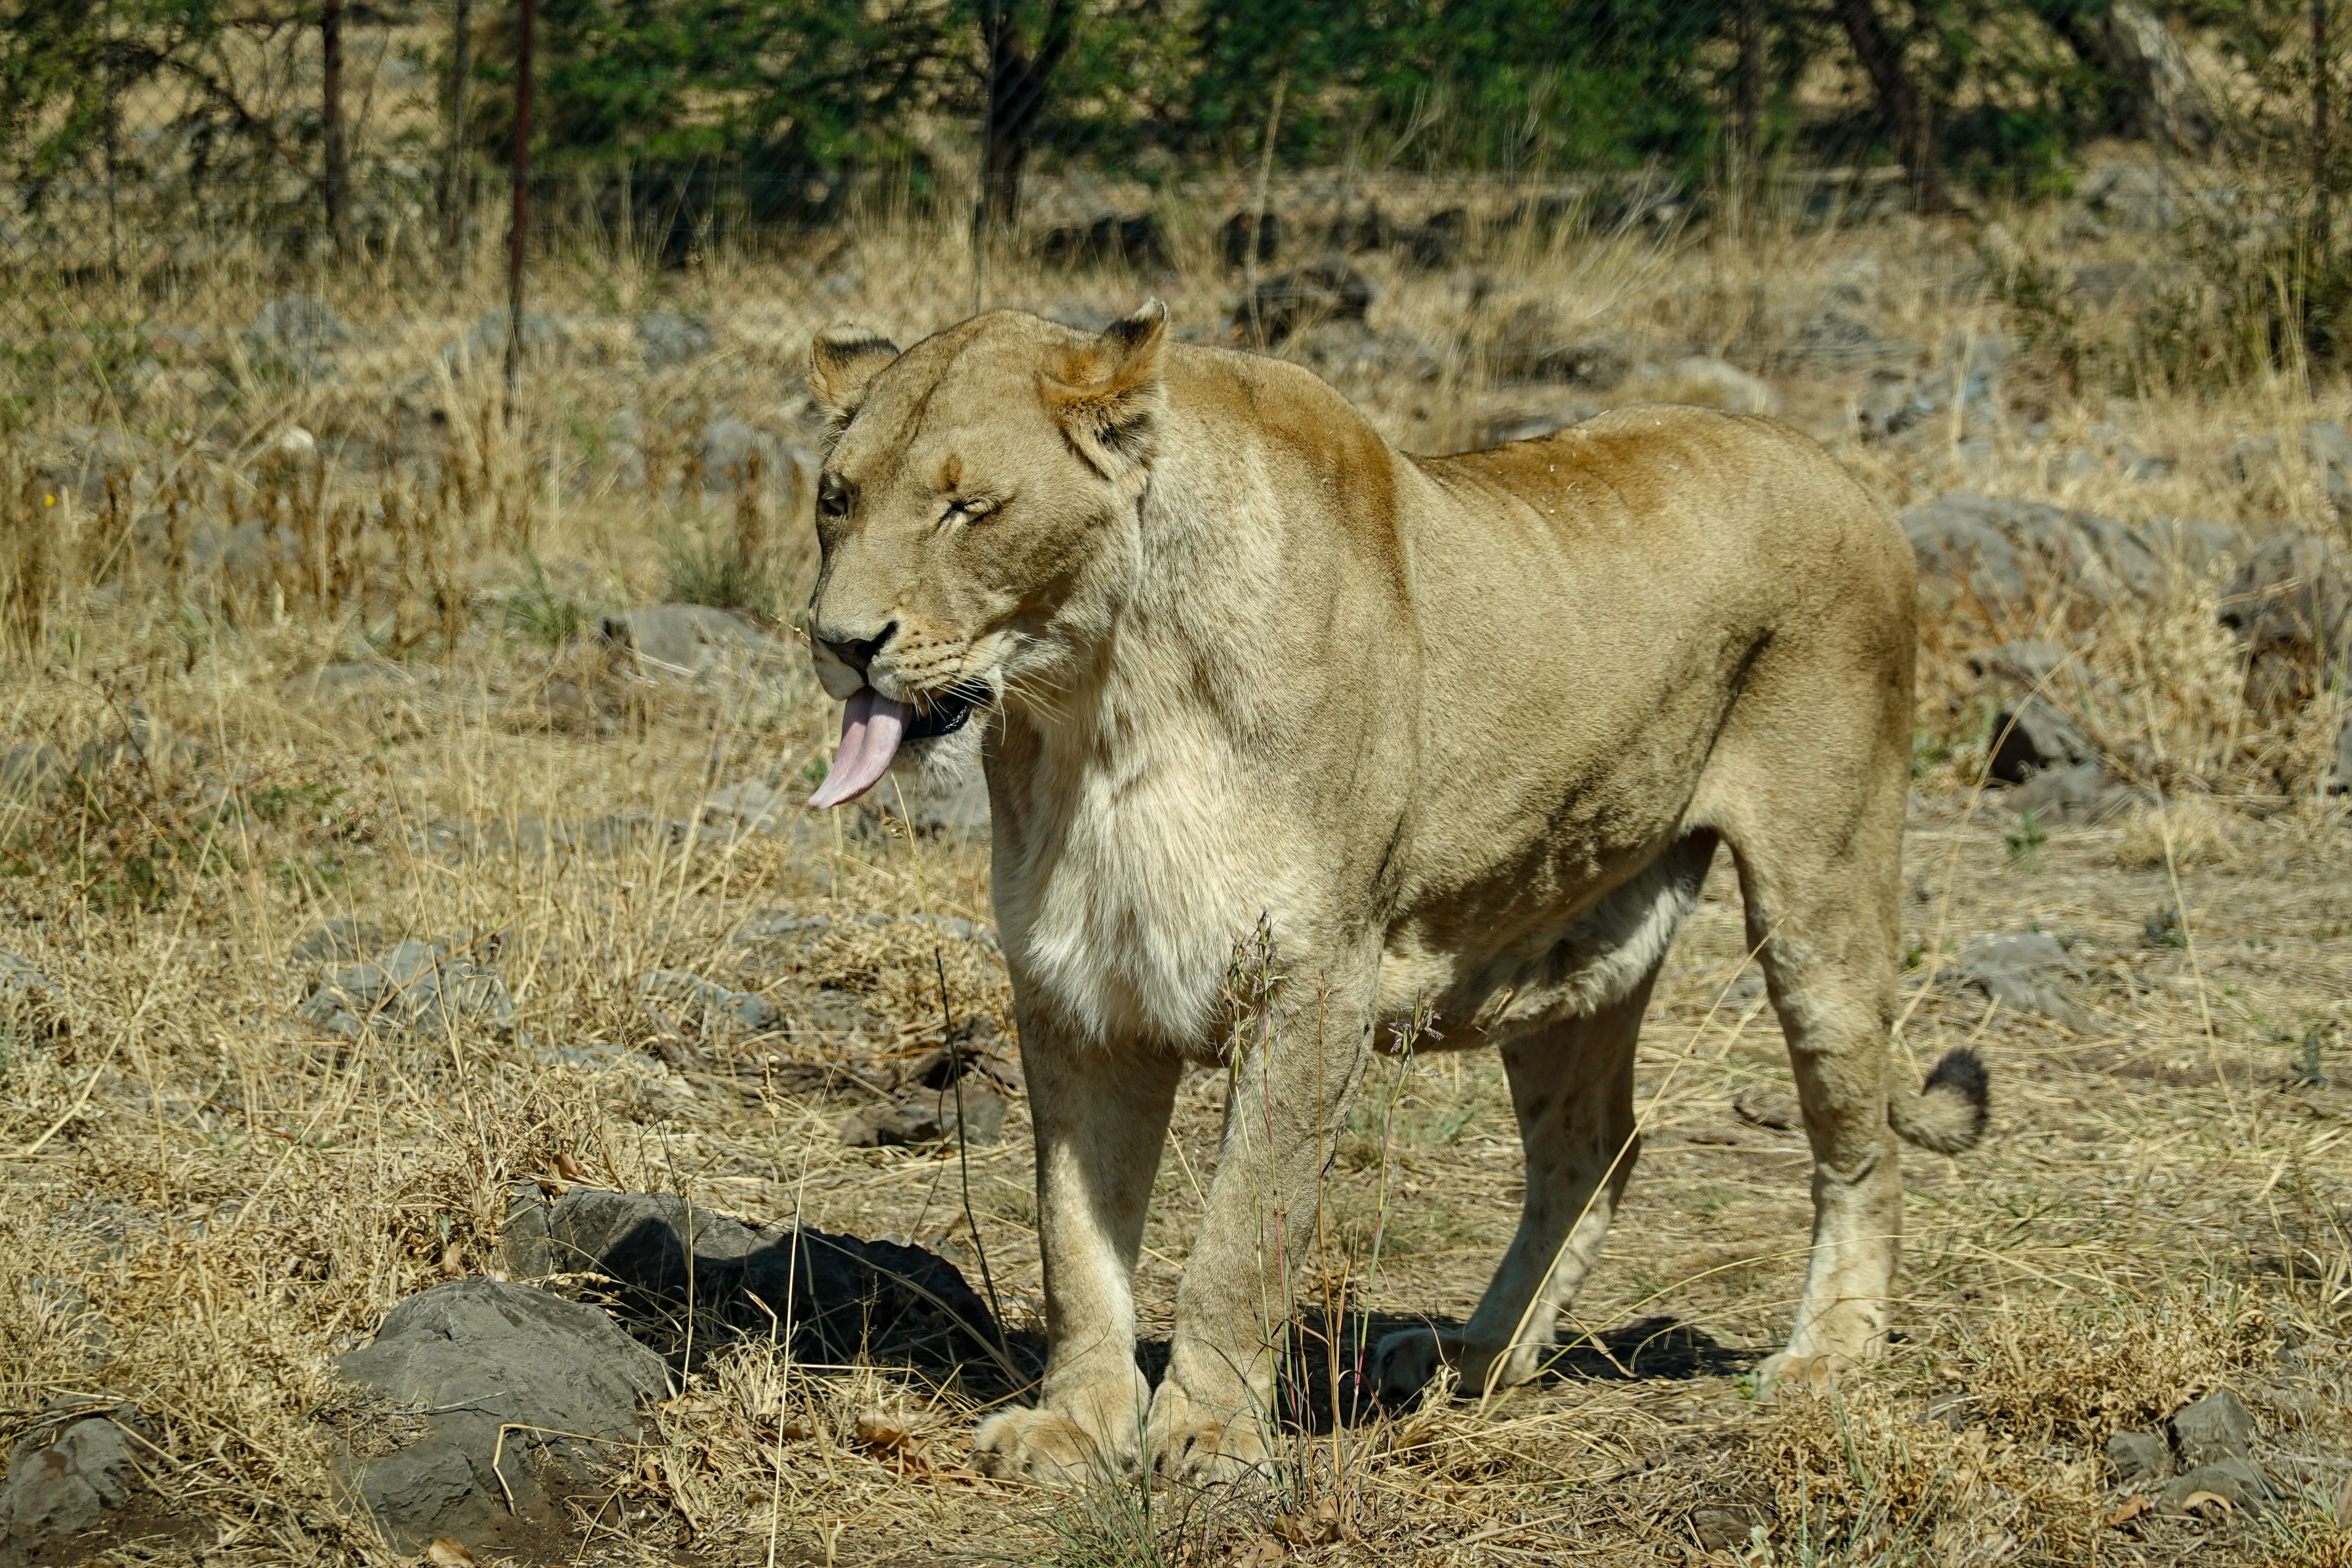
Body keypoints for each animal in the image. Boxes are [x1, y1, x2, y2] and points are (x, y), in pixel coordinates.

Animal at [798, 301, 1989, 1485]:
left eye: (967, 507)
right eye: (836, 499)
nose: (841, 645)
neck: (1102, 702)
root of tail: (1830, 464)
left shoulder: (1313, 980)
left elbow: (1243, 1232)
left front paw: (1208, 1435)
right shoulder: (1076, 985)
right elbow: (1073, 1233)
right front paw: (1078, 1426)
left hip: (1821, 889)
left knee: (1857, 1147)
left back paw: (1826, 1355)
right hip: (1571, 934)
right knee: (1593, 1147)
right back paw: (1479, 1358)